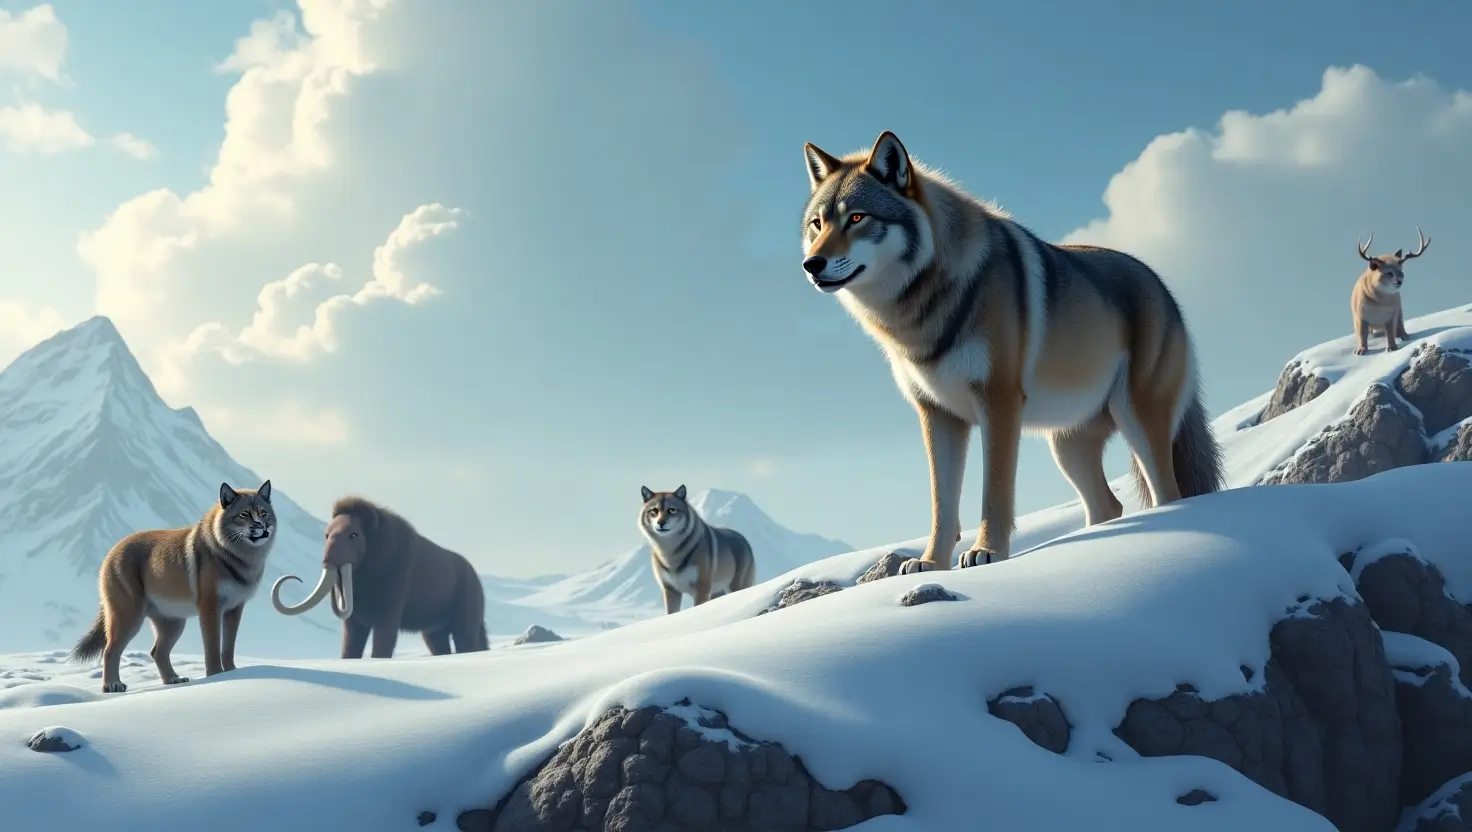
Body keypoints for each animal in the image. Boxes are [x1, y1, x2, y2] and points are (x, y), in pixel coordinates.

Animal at [69, 480, 278, 693]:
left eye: (263, 513)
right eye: (244, 514)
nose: (263, 527)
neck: (233, 557)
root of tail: (112, 550)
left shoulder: (234, 608)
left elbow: (228, 648)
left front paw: (232, 673)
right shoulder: (210, 607)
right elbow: (212, 648)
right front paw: (216, 676)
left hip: (173, 624)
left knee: (157, 652)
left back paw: (173, 679)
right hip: (130, 619)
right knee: (110, 650)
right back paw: (112, 685)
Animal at [638, 484, 757, 614]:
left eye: (672, 510)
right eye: (654, 511)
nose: (661, 523)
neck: (670, 553)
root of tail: (744, 539)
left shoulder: (701, 589)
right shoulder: (670, 590)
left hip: (735, 587)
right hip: (716, 592)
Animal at [798, 131, 1224, 575]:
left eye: (857, 218)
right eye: (818, 224)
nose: (812, 264)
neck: (923, 311)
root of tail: (1163, 286)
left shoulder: (998, 403)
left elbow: (995, 491)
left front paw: (988, 553)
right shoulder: (938, 415)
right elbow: (942, 503)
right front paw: (931, 563)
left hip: (1136, 421)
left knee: (1168, 494)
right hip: (1067, 448)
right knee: (1109, 506)